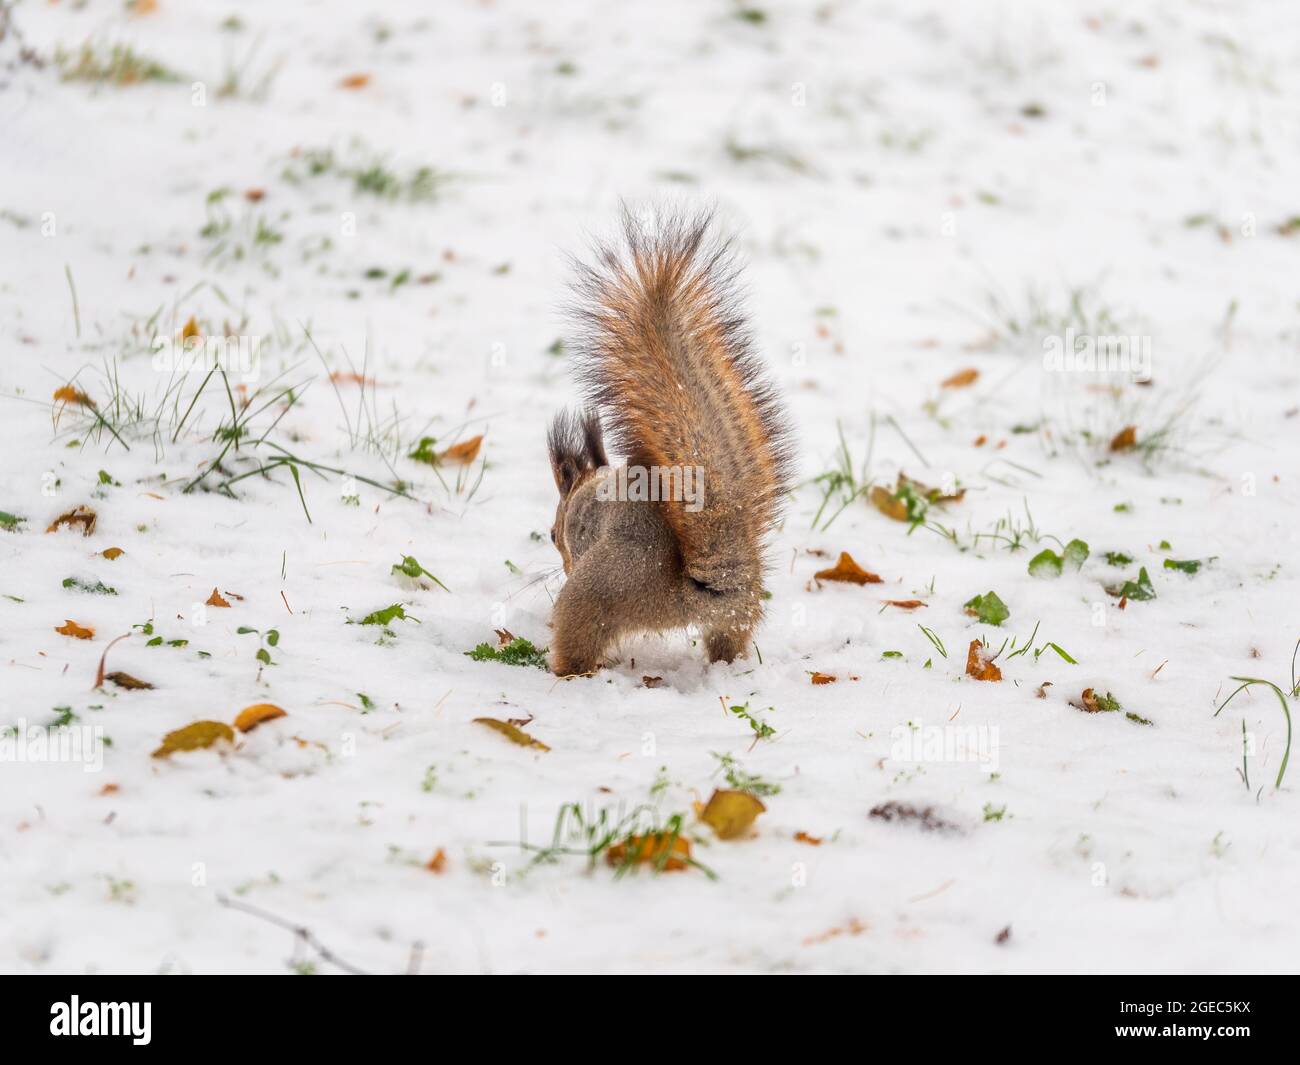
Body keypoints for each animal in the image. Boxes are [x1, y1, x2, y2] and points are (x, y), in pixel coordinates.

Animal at [546, 209, 794, 676]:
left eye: (552, 535)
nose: (565, 563)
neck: (588, 486)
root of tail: (706, 586)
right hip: (739, 617)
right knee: (729, 644)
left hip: (594, 594)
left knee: (577, 645)